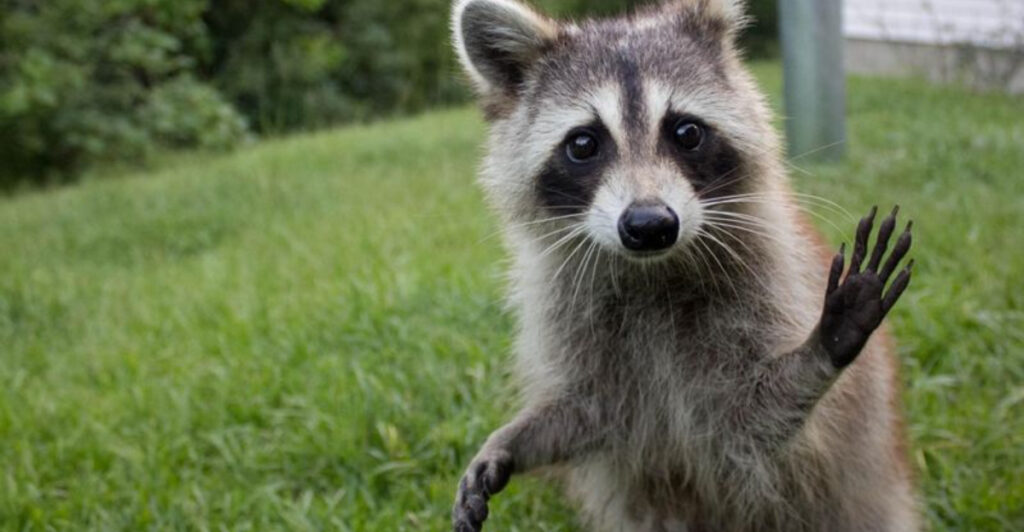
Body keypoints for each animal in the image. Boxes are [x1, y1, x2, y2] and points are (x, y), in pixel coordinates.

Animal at [449, 1, 919, 531]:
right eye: (584, 144)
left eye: (687, 132)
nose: (650, 224)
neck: (651, 271)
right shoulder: (572, 317)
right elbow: (588, 413)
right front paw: (512, 439)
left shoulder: (768, 290)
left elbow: (757, 418)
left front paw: (818, 352)